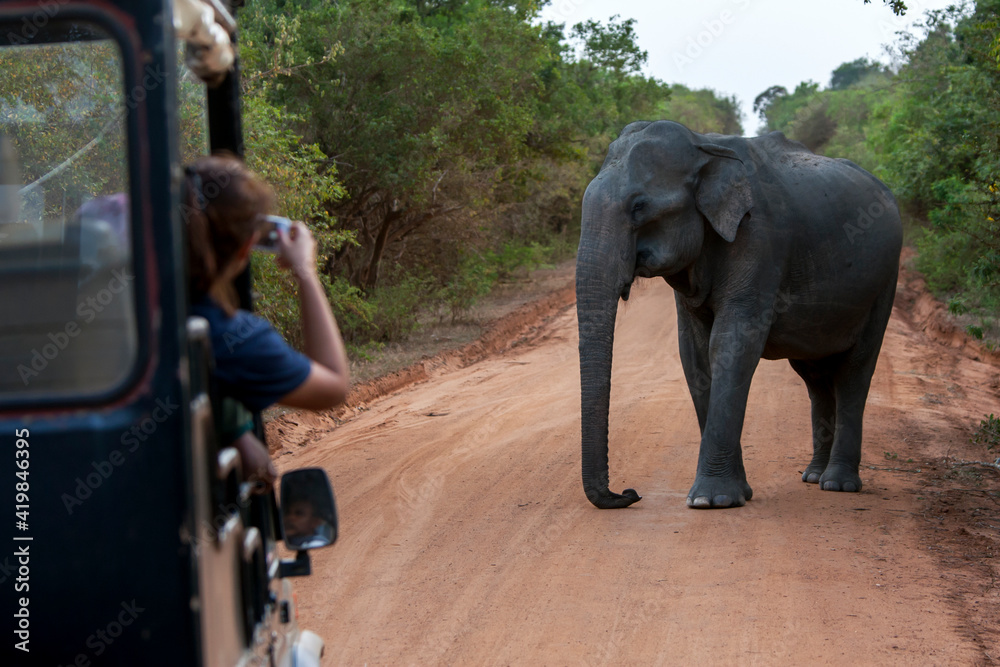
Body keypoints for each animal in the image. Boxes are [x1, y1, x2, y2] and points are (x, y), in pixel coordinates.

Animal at [577, 120, 902, 510]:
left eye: (639, 206)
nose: (629, 493)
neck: (703, 148)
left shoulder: (760, 239)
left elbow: (731, 344)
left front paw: (711, 501)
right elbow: (695, 354)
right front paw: (735, 495)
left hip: (884, 281)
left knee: (855, 370)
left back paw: (838, 484)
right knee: (814, 376)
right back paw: (813, 476)